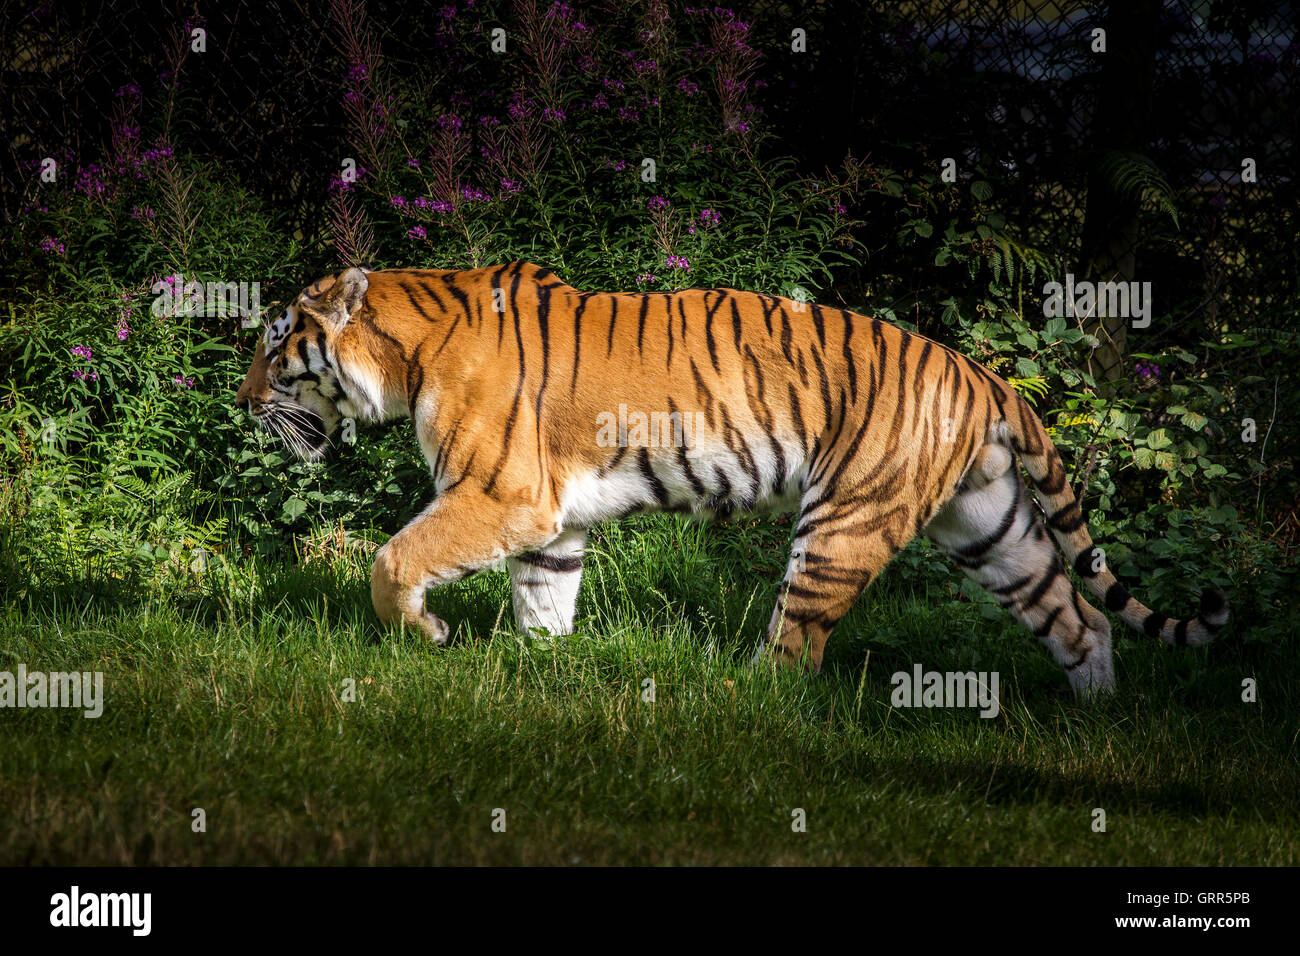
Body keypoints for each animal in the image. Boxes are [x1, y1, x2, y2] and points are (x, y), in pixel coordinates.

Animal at [234, 262, 1228, 696]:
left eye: (275, 349)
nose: (242, 402)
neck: (407, 356)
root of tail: (983, 374)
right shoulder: (549, 521)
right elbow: (543, 603)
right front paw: (542, 675)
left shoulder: (499, 496)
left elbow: (392, 561)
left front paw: (428, 636)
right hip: (985, 523)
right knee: (1081, 616)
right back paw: (1094, 720)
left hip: (844, 521)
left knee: (798, 648)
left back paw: (737, 702)